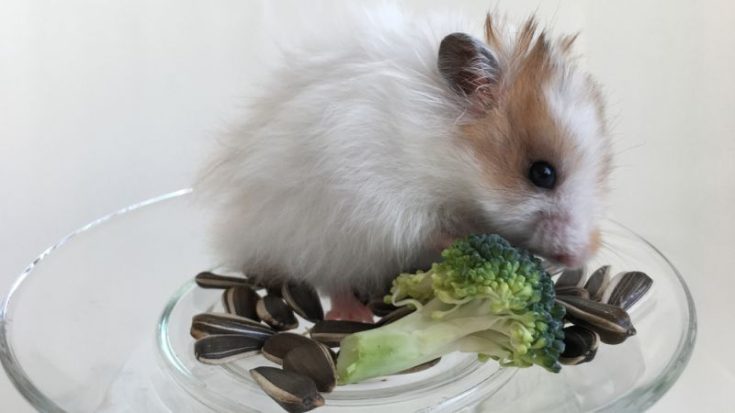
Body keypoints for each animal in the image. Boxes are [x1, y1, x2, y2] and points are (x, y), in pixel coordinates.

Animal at [196, 6, 612, 320]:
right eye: (542, 173)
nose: (582, 254)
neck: (443, 157)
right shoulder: (382, 200)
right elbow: (434, 232)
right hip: (316, 239)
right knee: (332, 280)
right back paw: (351, 317)